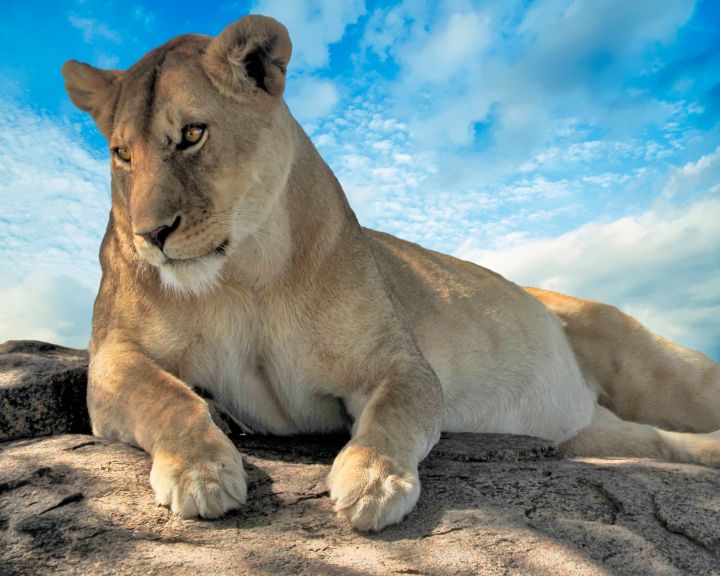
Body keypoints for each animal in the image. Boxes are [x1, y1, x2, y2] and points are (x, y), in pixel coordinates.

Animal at [61, 15, 720, 531]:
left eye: (193, 135)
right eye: (122, 155)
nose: (151, 235)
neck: (241, 275)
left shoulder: (398, 362)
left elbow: (396, 412)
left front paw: (373, 482)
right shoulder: (112, 356)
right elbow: (166, 396)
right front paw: (202, 470)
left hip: (655, 366)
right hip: (592, 433)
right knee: (660, 443)